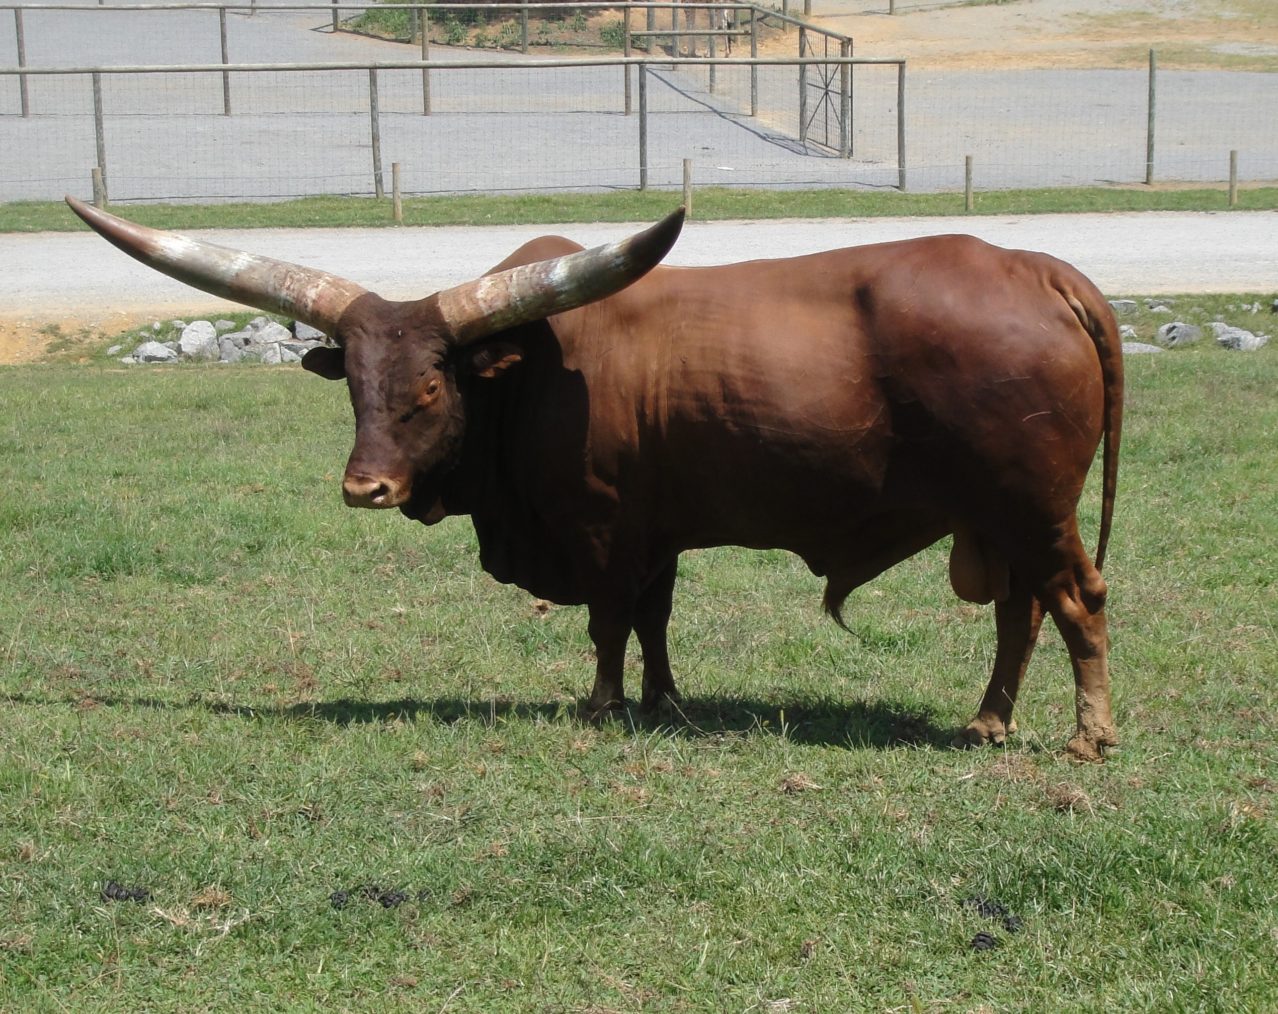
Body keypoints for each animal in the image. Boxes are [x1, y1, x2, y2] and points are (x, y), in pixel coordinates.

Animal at [66, 196, 1122, 760]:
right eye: (356, 387)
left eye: (429, 387)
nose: (364, 488)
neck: (526, 375)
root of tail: (1035, 268)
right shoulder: (658, 533)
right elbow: (654, 620)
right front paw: (663, 701)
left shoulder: (604, 529)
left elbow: (609, 623)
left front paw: (606, 704)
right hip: (997, 520)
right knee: (1021, 613)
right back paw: (988, 722)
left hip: (1035, 510)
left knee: (1078, 603)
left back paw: (1089, 736)